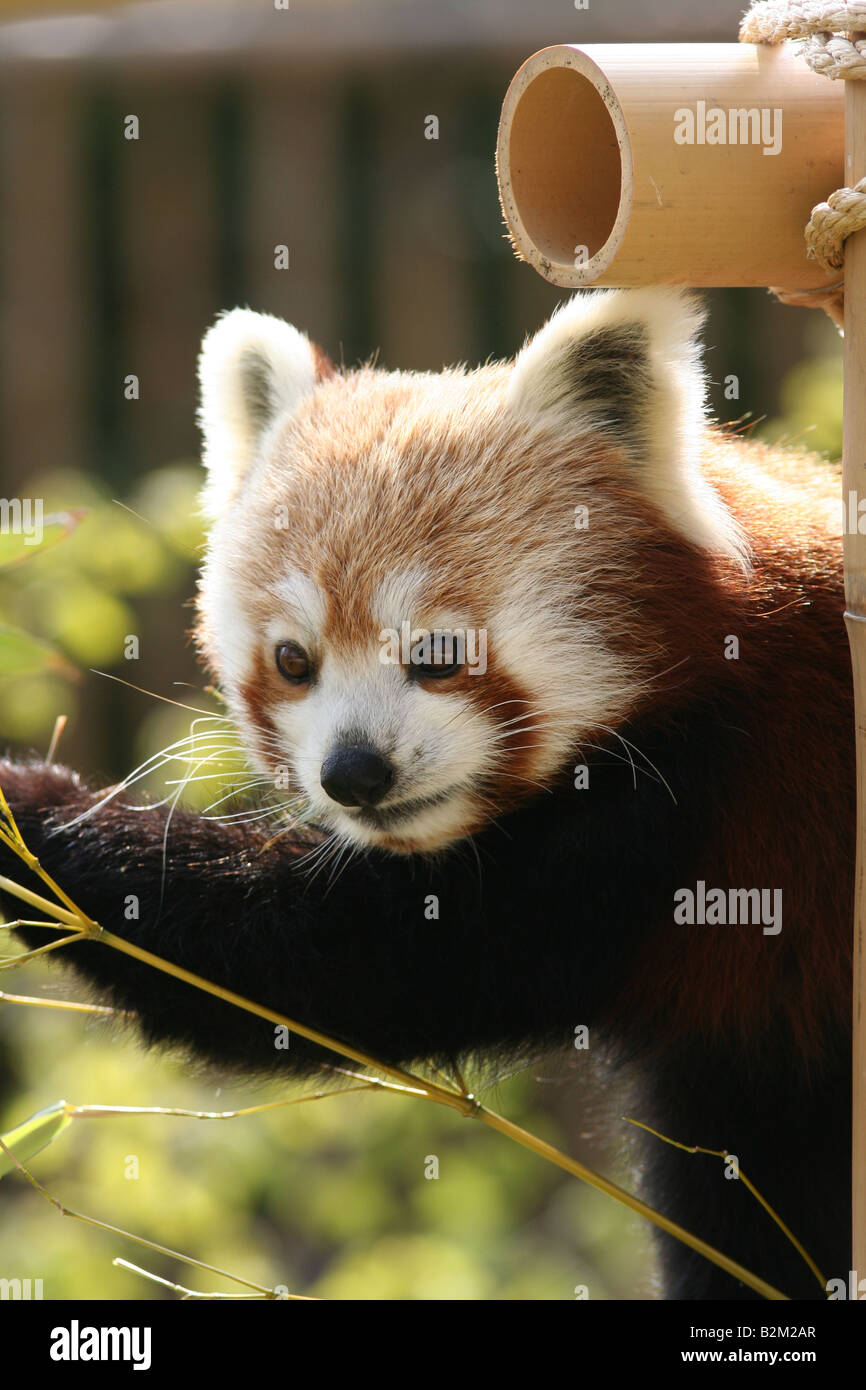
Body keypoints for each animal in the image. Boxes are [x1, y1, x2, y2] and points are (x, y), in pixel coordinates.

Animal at [0, 288, 853, 1300]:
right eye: (294, 661)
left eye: (439, 656)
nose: (354, 773)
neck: (731, 663)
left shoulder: (698, 812)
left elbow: (353, 964)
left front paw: (32, 813)